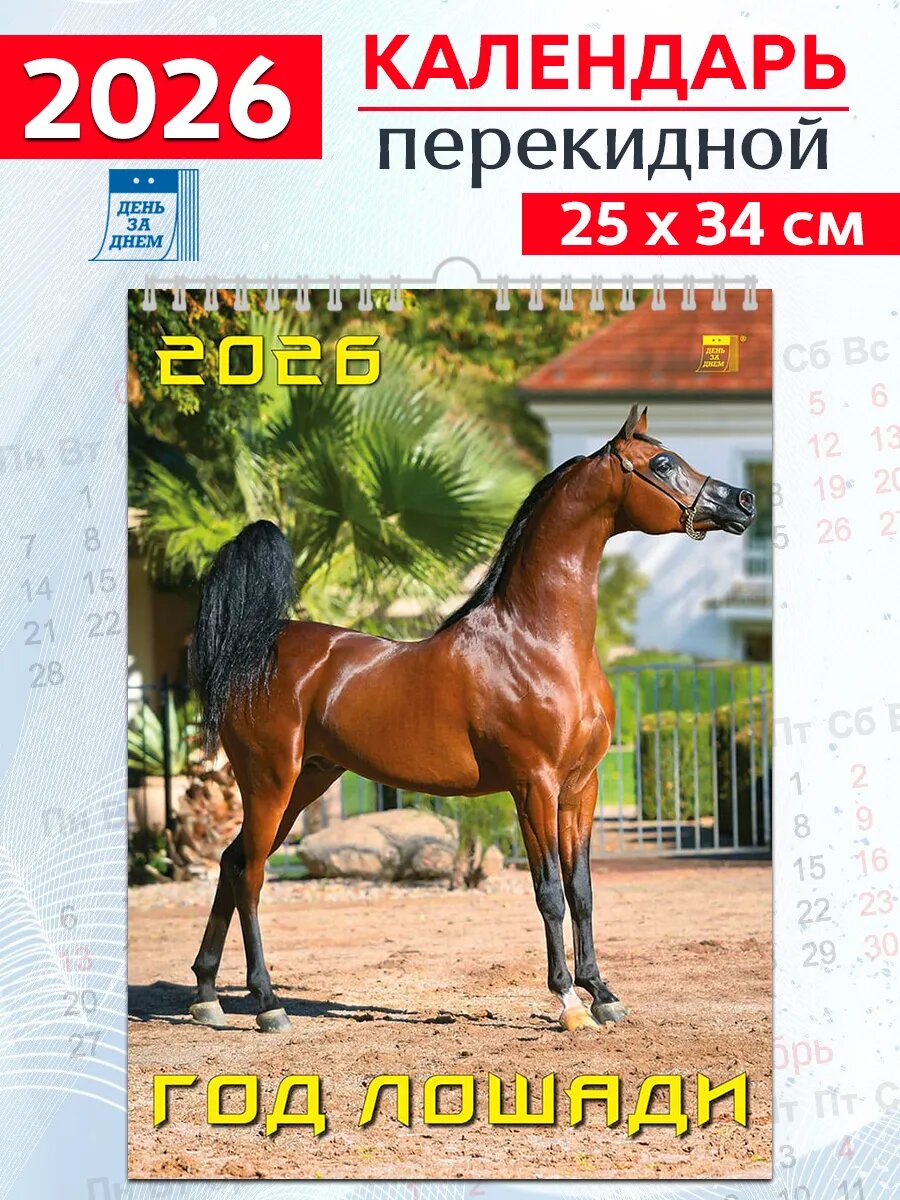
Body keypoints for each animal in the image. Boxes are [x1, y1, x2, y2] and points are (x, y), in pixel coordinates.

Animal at [186, 404, 756, 1034]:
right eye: (662, 463)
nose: (744, 501)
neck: (541, 641)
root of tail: (255, 646)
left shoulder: (581, 787)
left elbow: (582, 890)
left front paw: (602, 993)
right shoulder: (535, 786)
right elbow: (549, 891)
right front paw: (567, 1002)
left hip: (306, 781)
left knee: (233, 862)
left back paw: (208, 997)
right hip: (269, 782)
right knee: (253, 876)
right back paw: (268, 1004)